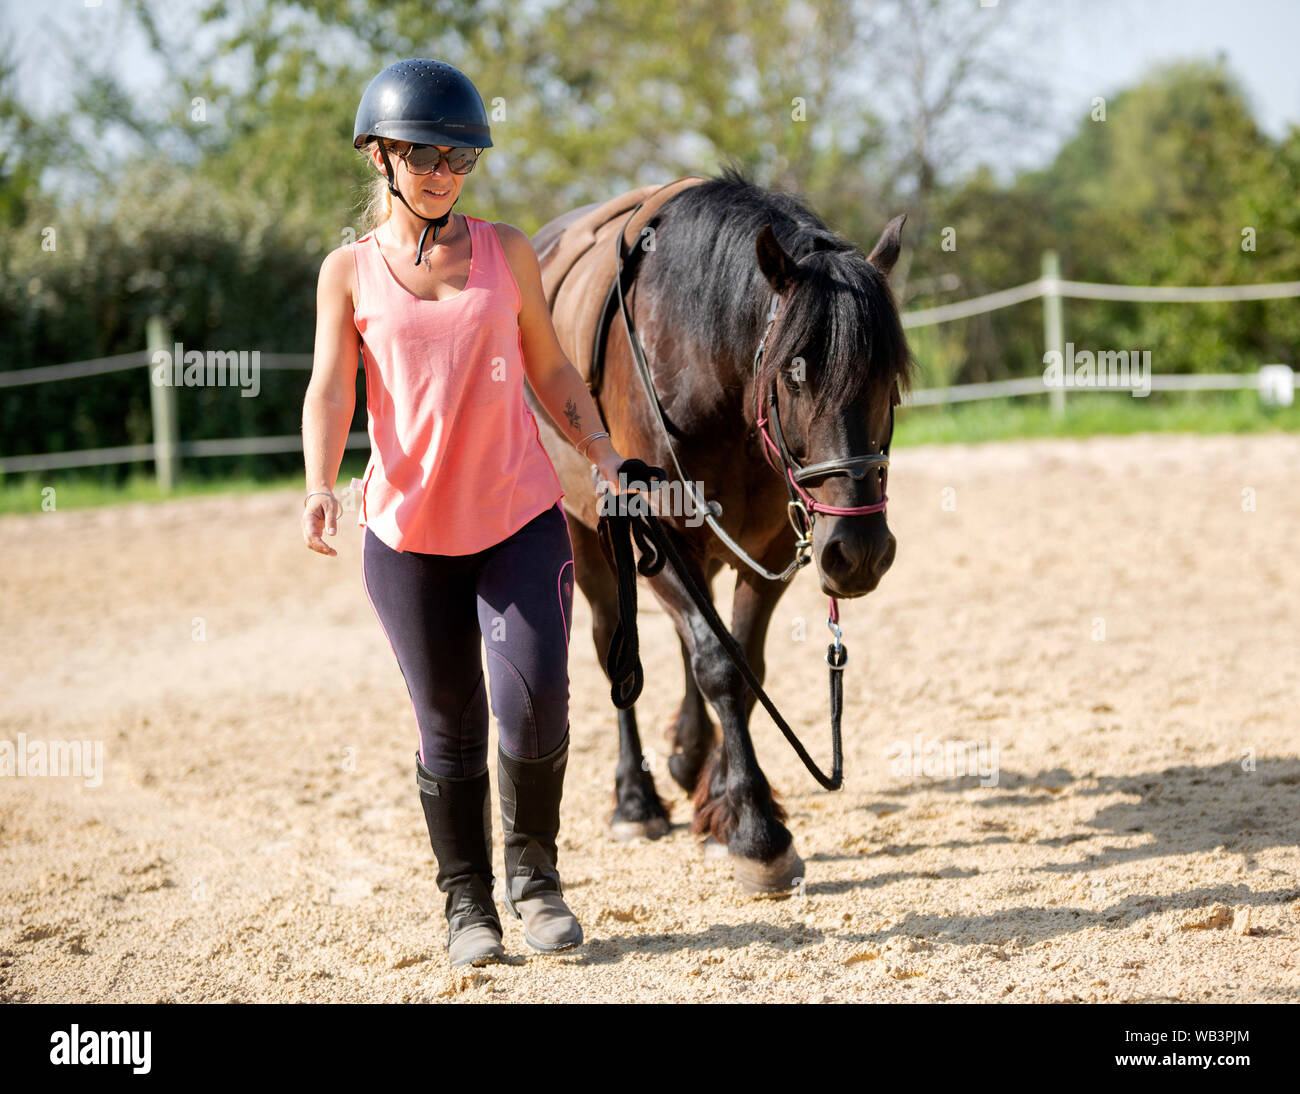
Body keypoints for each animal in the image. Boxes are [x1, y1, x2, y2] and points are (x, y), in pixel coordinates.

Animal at [525, 165, 912, 895]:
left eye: (892, 378)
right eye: (794, 375)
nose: (859, 553)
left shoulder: (769, 547)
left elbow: (741, 660)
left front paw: (724, 803)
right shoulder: (656, 538)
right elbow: (720, 666)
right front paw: (757, 831)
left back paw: (690, 760)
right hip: (589, 539)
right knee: (615, 644)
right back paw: (637, 799)